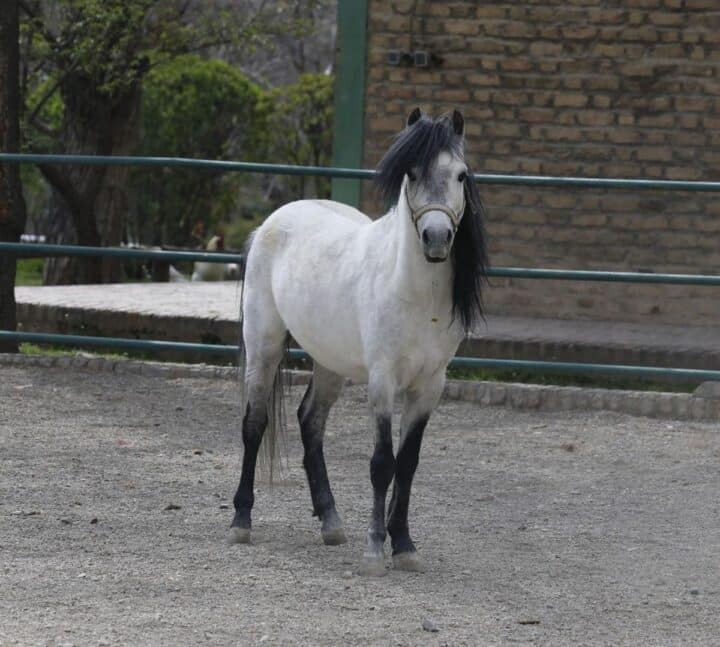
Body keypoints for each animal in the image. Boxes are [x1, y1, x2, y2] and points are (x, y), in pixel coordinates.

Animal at [228, 108, 488, 576]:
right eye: (411, 172)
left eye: (460, 175)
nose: (437, 238)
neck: (415, 295)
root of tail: (268, 224)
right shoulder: (382, 381)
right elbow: (382, 464)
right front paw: (374, 551)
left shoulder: (430, 386)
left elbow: (408, 463)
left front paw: (403, 545)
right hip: (264, 346)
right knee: (254, 424)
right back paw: (241, 521)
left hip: (329, 362)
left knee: (310, 422)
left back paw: (331, 522)